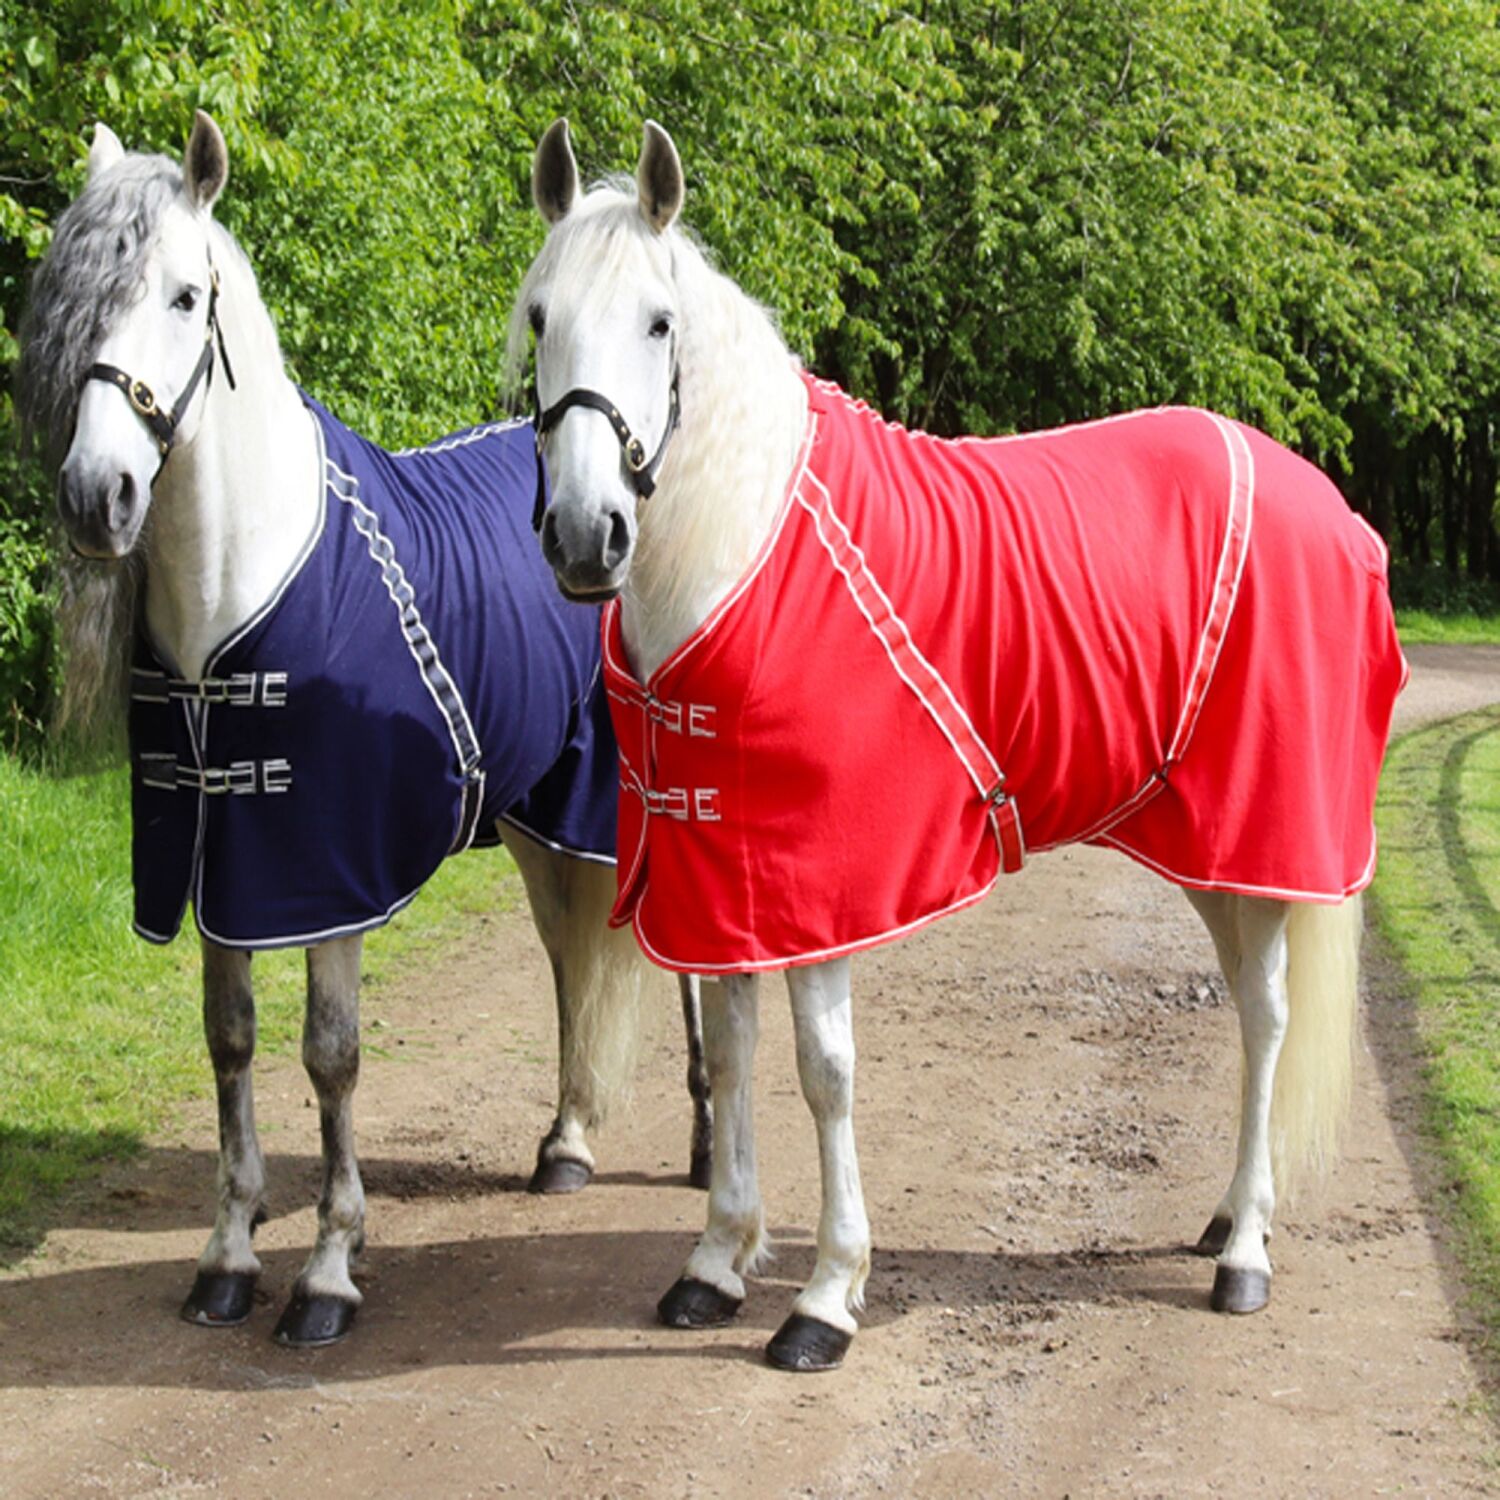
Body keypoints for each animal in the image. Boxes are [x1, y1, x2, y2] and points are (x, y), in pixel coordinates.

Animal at [16, 111, 711, 1348]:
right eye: (70, 297)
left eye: (184, 297)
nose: (98, 497)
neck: (238, 581)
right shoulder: (224, 861)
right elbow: (231, 1040)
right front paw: (228, 1256)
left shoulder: (321, 869)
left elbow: (330, 1055)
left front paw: (330, 1271)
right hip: (535, 820)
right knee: (566, 957)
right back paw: (566, 1141)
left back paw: (702, 1145)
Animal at [514, 118, 1408, 1371]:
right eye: (540, 315)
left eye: (657, 322)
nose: (585, 535)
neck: (744, 559)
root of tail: (1327, 502)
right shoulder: (728, 879)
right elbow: (733, 1058)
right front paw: (715, 1264)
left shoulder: (822, 890)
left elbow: (824, 1074)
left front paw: (825, 1298)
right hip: (1210, 852)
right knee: (1246, 1006)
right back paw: (1234, 1217)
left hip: (1270, 842)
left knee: (1272, 1018)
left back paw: (1243, 1257)